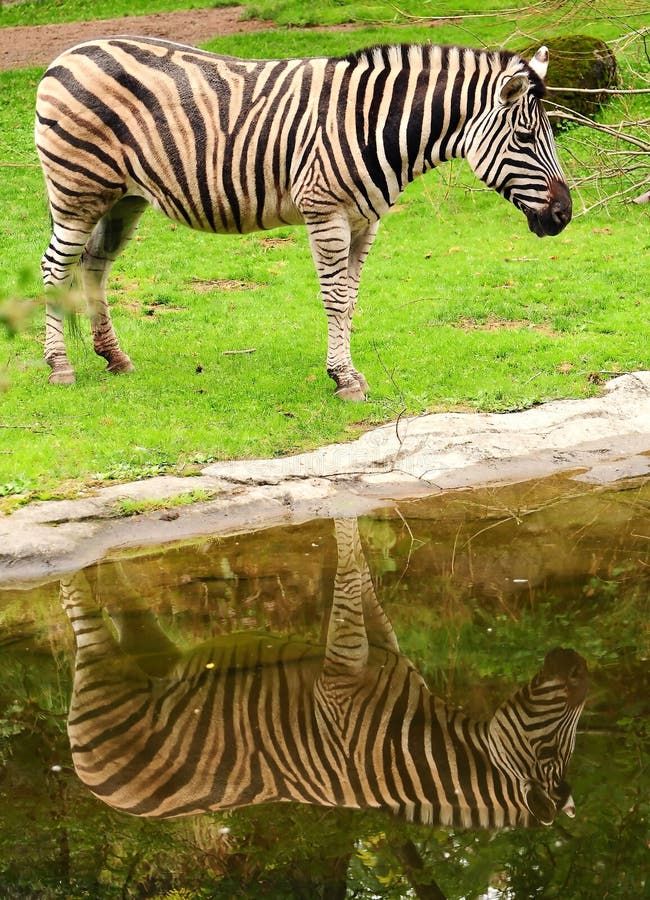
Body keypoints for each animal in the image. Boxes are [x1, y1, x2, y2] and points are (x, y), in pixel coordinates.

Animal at [35, 38, 571, 398]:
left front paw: (349, 370)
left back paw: (114, 357)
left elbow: (351, 300)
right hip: (76, 191)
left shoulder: (366, 221)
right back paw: (59, 367)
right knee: (54, 269)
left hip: (122, 198)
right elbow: (334, 299)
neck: (375, 125)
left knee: (94, 266)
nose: (564, 215)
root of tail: (67, 54)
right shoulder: (325, 211)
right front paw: (343, 379)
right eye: (526, 137)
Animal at [60, 518, 587, 829]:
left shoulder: (378, 645)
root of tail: (101, 791)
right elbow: (352, 565)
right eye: (546, 751)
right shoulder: (341, 670)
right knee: (79, 609)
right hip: (104, 672)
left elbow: (361, 575)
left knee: (126, 608)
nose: (582, 668)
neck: (409, 743)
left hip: (151, 657)